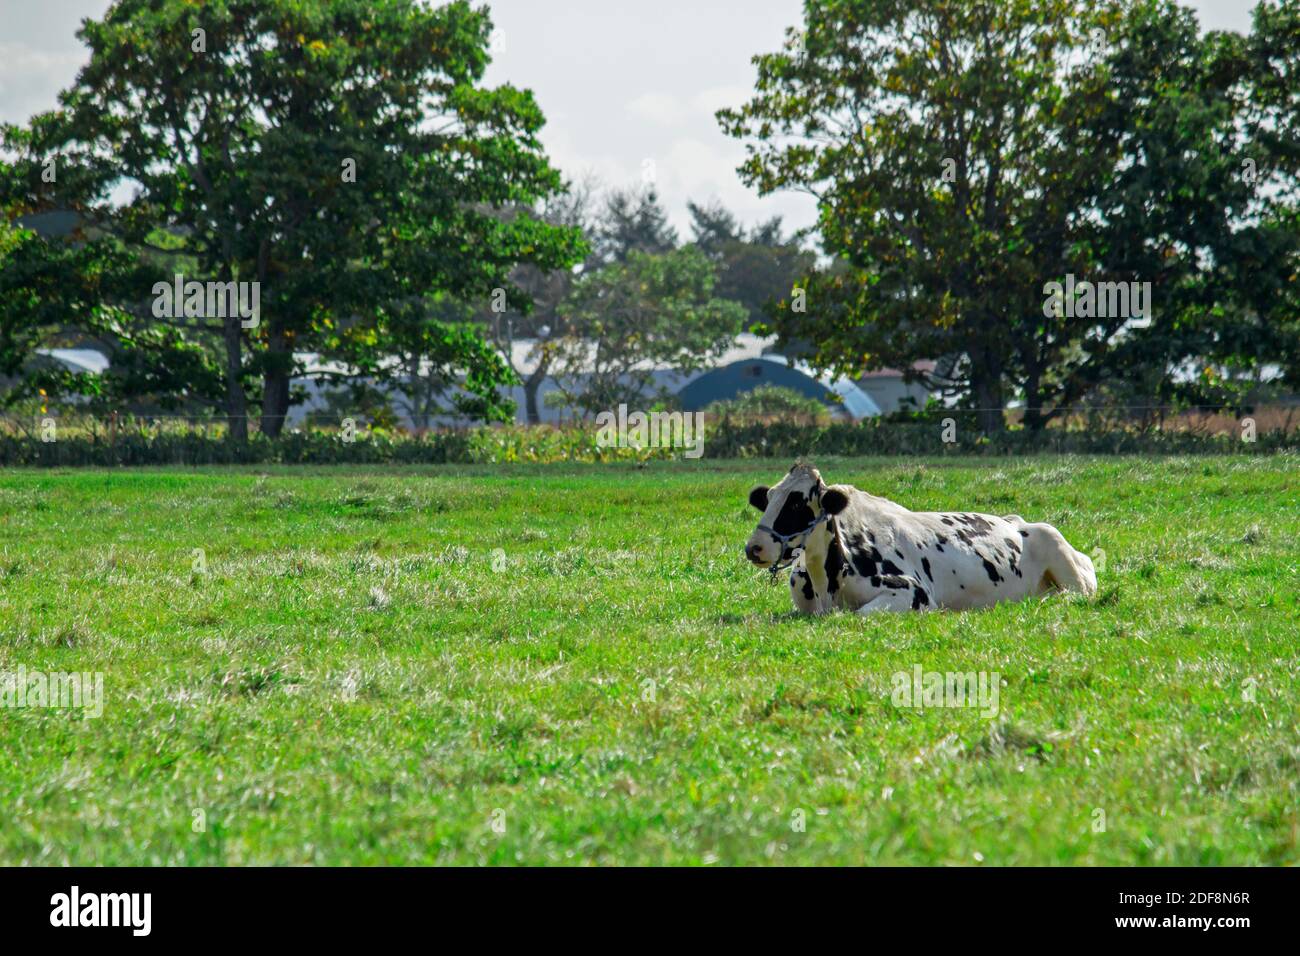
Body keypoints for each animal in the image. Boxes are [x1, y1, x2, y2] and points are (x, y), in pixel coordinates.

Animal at [745, 463, 1096, 614]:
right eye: (770, 498)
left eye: (796, 504)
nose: (754, 547)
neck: (828, 582)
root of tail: (1018, 521)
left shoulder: (914, 591)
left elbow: (859, 613)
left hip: (1063, 557)